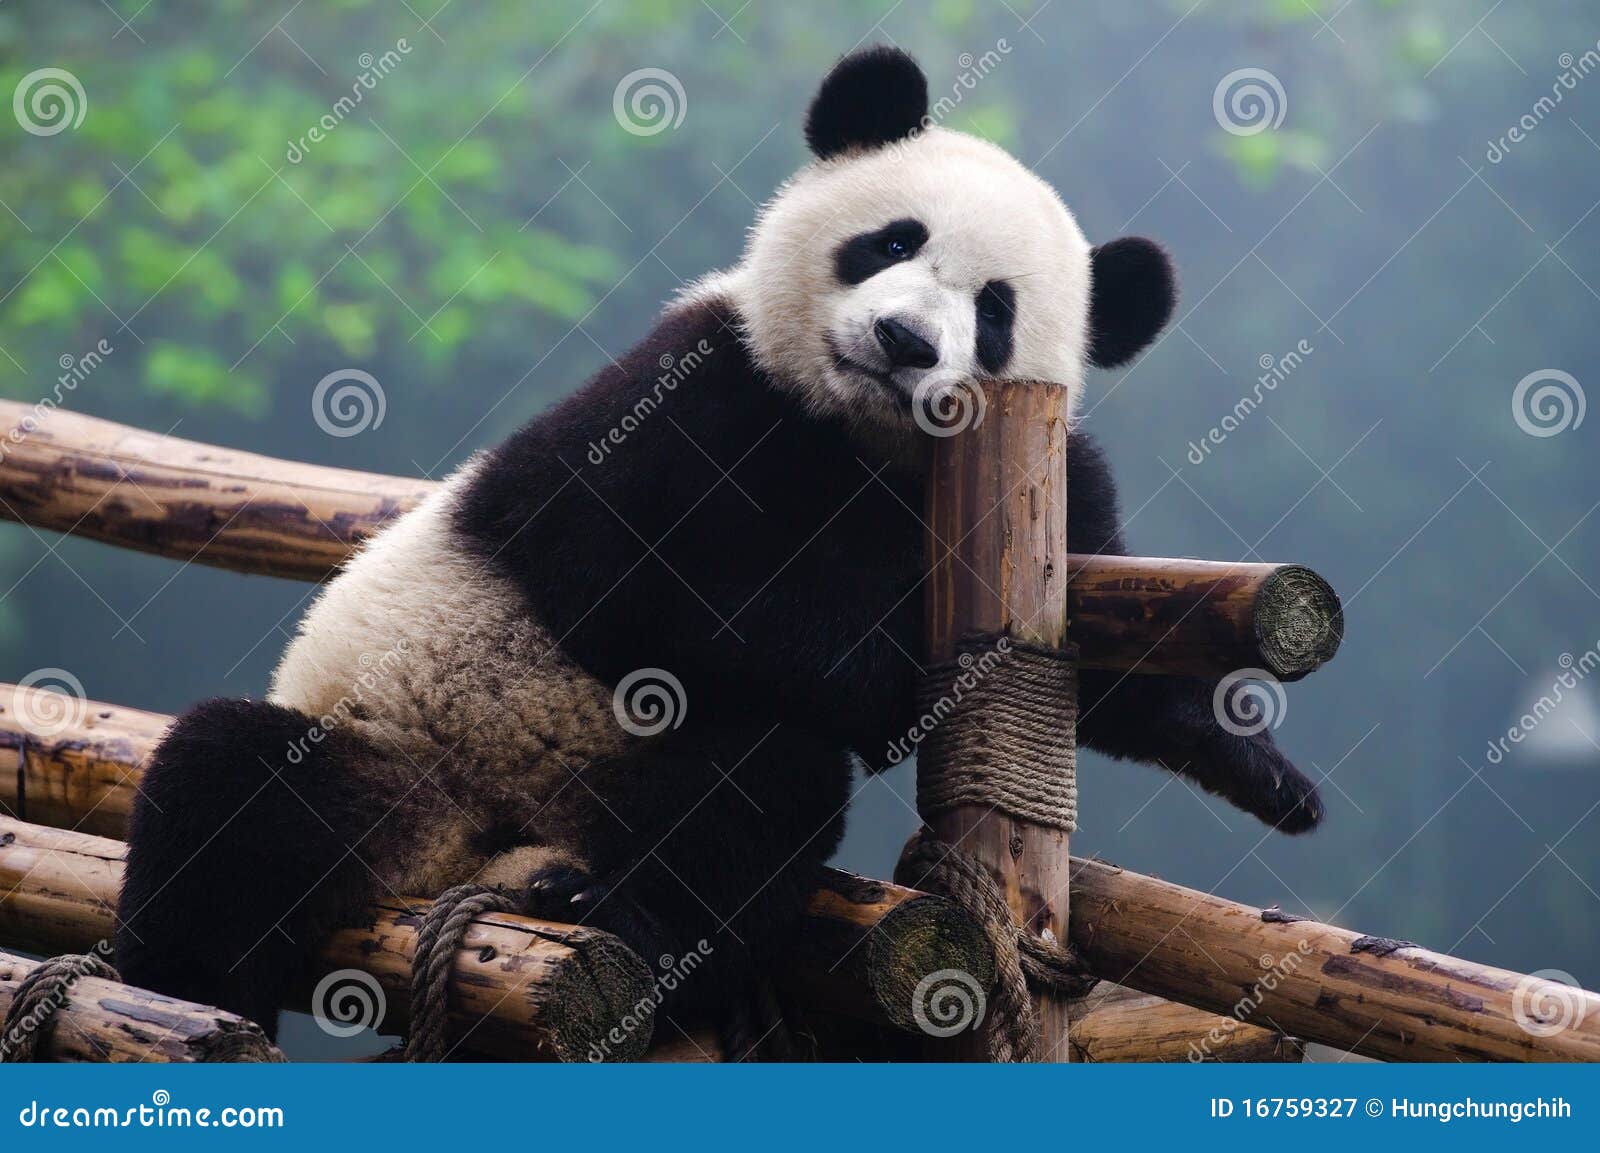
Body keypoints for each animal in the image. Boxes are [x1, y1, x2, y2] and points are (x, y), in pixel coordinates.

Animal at [117, 46, 1322, 1044]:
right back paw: (181, 998)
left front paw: (1261, 770)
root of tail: (482, 847)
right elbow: (629, 574)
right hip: (393, 747)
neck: (860, 437)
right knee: (229, 797)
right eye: (893, 241)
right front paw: (900, 682)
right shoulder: (689, 390)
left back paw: (611, 907)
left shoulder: (1045, 477)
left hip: (602, 783)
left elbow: (1110, 653)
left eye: (992, 311)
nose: (902, 340)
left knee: (750, 799)